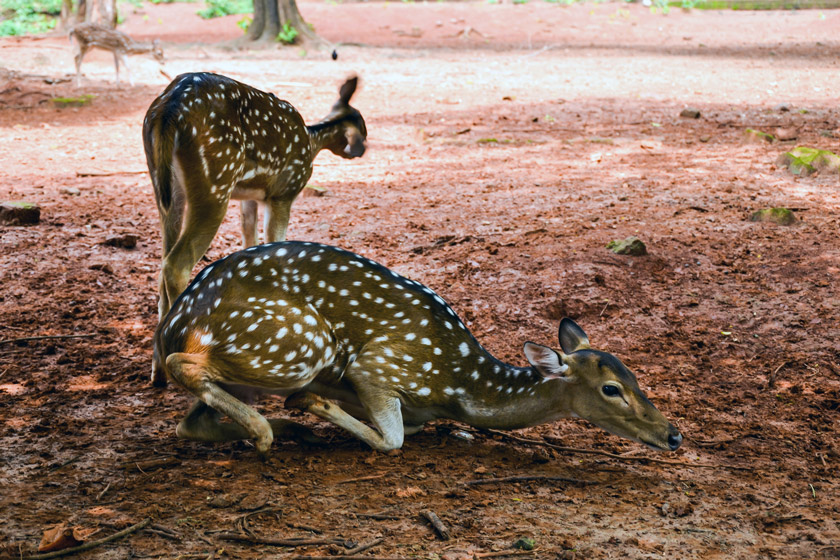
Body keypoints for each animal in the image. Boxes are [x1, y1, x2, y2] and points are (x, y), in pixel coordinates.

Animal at [144, 73, 367, 385]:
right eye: (363, 129)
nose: (363, 150)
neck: (311, 142)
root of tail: (168, 109)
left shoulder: (248, 196)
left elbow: (250, 242)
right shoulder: (284, 192)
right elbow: (276, 240)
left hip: (164, 186)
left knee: (163, 259)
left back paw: (157, 371)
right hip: (215, 180)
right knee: (176, 263)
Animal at [153, 240, 683, 458]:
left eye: (635, 376)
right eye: (611, 388)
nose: (675, 435)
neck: (457, 390)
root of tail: (176, 323)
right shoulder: (381, 366)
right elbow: (392, 440)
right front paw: (314, 404)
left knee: (190, 423)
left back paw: (286, 430)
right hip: (298, 342)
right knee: (184, 366)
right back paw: (268, 431)